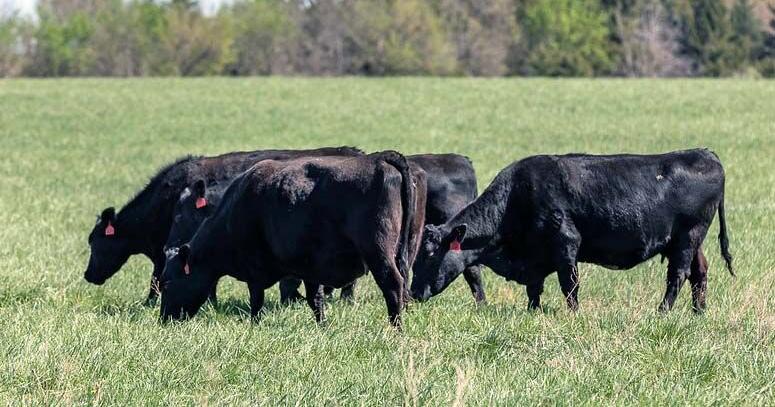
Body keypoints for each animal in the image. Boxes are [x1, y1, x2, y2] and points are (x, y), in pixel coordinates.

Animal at [160, 151, 426, 328]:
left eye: (168, 283)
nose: (164, 319)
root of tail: (379, 160)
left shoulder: (254, 269)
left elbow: (256, 300)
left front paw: (254, 324)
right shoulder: (310, 269)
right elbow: (315, 299)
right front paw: (322, 326)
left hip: (378, 251)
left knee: (393, 285)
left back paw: (396, 328)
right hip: (404, 250)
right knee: (404, 285)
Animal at [410, 149, 733, 313]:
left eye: (430, 255)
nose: (412, 292)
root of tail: (705, 153)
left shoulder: (565, 243)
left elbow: (570, 284)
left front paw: (574, 314)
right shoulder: (535, 258)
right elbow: (534, 288)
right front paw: (533, 312)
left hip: (688, 236)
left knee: (678, 274)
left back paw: (662, 311)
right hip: (689, 241)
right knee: (699, 271)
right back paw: (698, 312)